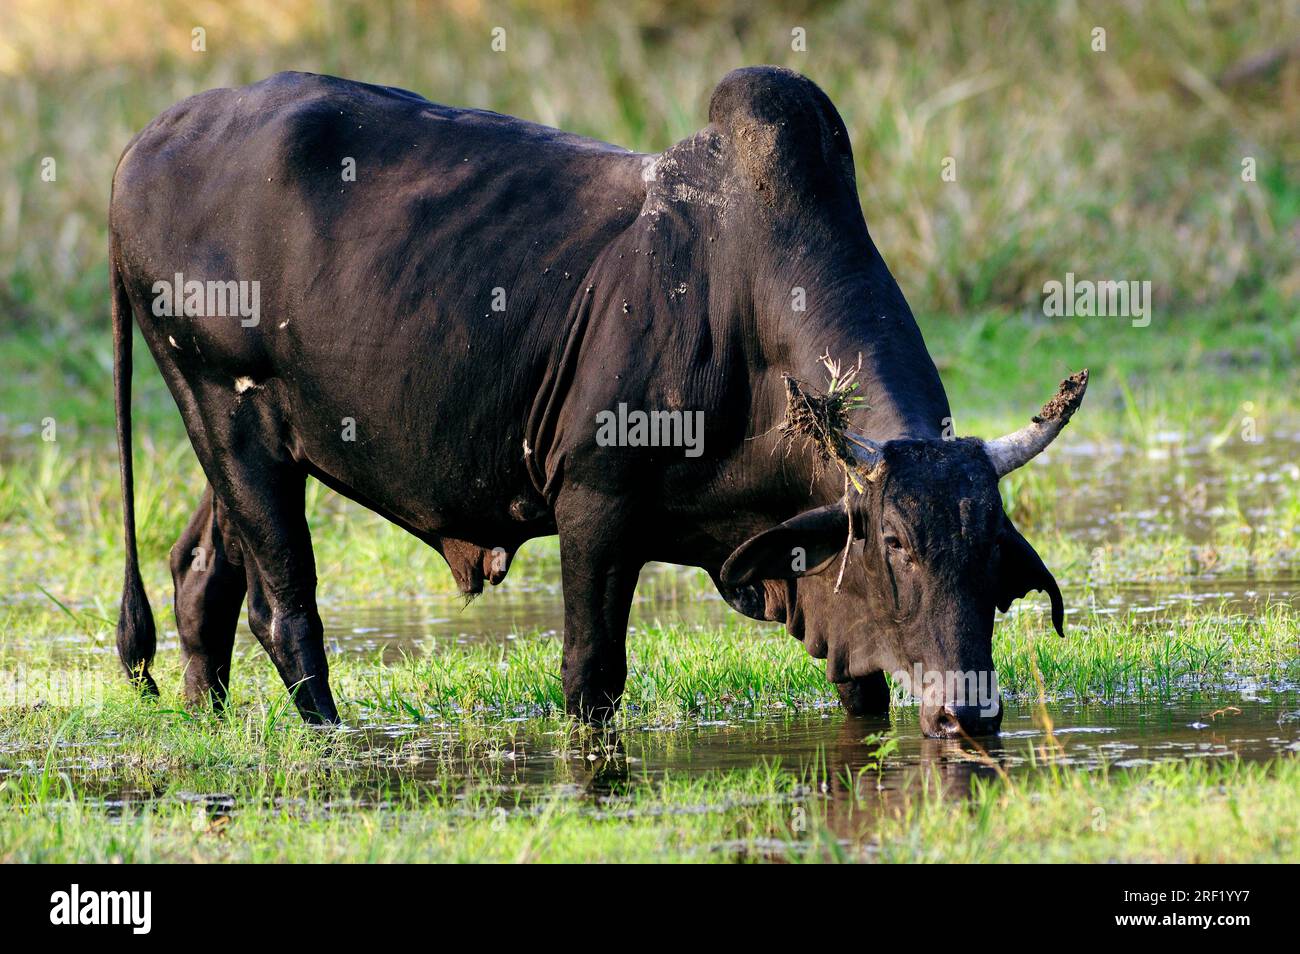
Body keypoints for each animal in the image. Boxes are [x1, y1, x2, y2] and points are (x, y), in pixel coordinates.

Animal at [110, 67, 1086, 738]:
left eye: (992, 556)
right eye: (894, 544)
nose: (970, 715)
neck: (749, 304)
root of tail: (147, 139)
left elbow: (863, 687)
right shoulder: (594, 505)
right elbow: (591, 679)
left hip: (257, 439)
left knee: (202, 574)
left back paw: (204, 718)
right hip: (226, 418)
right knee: (286, 610)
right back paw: (334, 738)